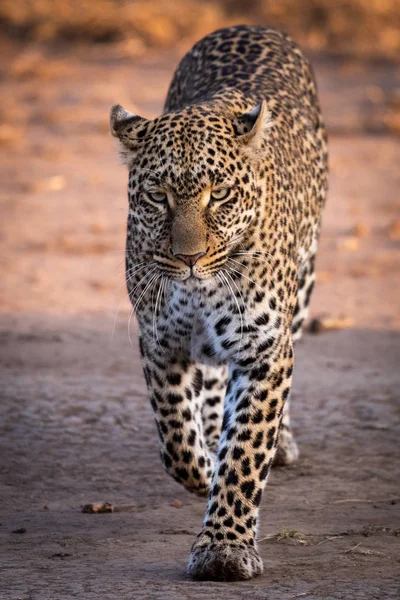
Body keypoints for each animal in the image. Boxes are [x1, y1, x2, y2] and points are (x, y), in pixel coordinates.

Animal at [109, 24, 328, 580]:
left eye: (221, 194)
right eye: (158, 197)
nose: (188, 258)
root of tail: (250, 26)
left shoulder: (264, 349)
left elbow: (246, 451)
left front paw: (224, 548)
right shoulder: (160, 342)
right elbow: (176, 442)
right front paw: (205, 467)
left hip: (305, 281)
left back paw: (280, 440)